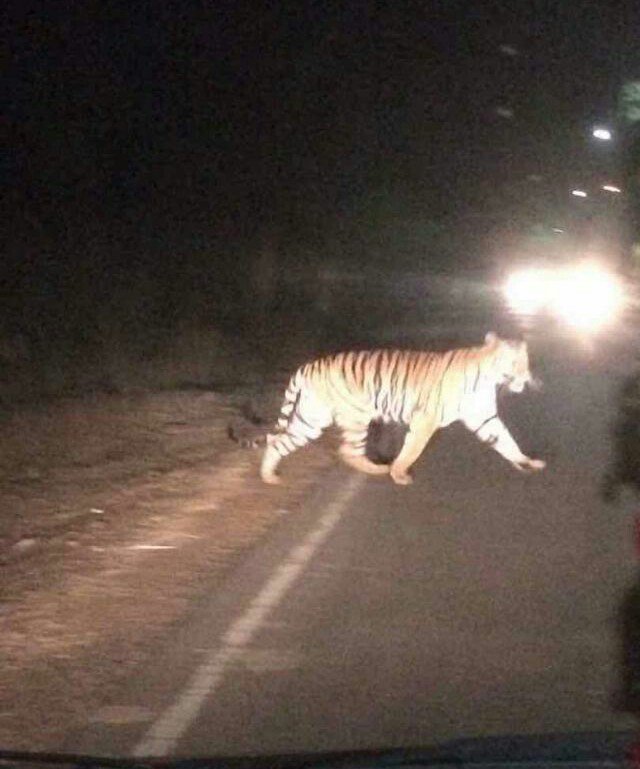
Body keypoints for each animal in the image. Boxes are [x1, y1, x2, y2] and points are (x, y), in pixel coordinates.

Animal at [236, 332, 546, 485]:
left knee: (278, 442)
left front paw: (527, 462)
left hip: (311, 419)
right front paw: (399, 473)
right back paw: (379, 469)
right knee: (347, 450)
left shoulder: (484, 417)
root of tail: (309, 365)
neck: (490, 378)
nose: (527, 377)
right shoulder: (425, 420)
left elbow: (506, 440)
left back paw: (268, 477)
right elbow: (412, 450)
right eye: (518, 363)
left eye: (526, 362)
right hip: (356, 416)